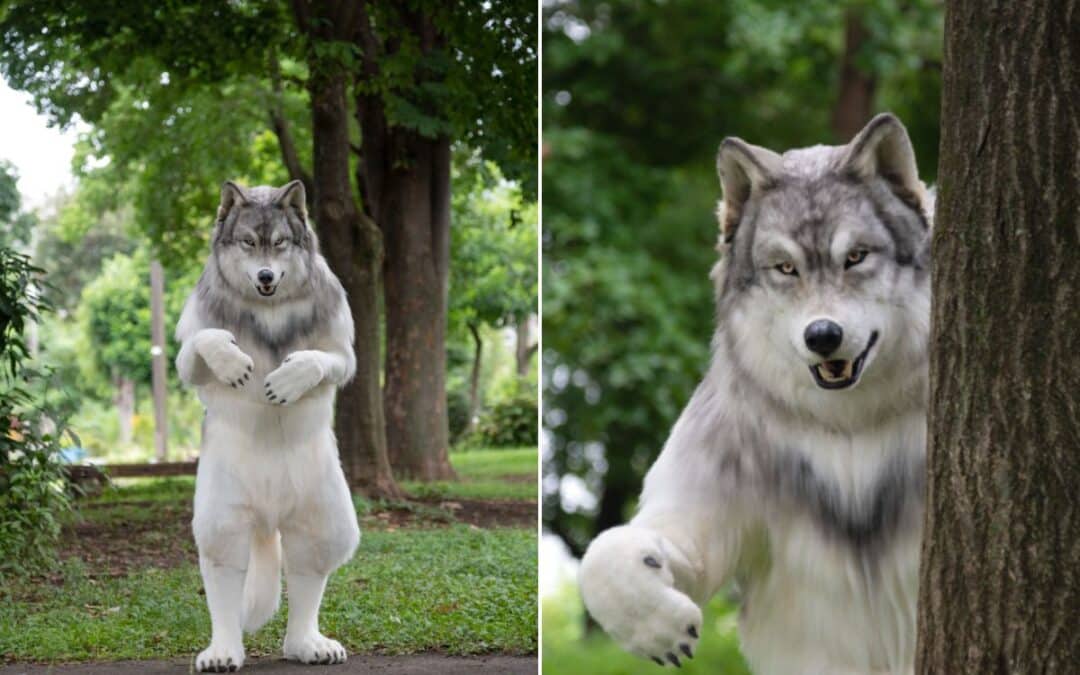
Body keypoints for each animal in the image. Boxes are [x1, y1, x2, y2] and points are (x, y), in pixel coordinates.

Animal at [175, 180, 360, 672]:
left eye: (279, 243)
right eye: (247, 243)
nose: (264, 277)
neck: (269, 308)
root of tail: (270, 512)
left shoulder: (339, 344)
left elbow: (327, 359)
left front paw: (292, 377)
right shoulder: (193, 340)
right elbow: (201, 344)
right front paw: (230, 359)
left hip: (321, 503)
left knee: (310, 560)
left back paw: (306, 644)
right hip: (224, 504)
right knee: (224, 562)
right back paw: (224, 649)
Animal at [578, 114, 933, 675]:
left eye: (855, 258)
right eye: (785, 268)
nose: (822, 336)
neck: (848, 427)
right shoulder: (693, 534)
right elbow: (603, 552)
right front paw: (659, 630)